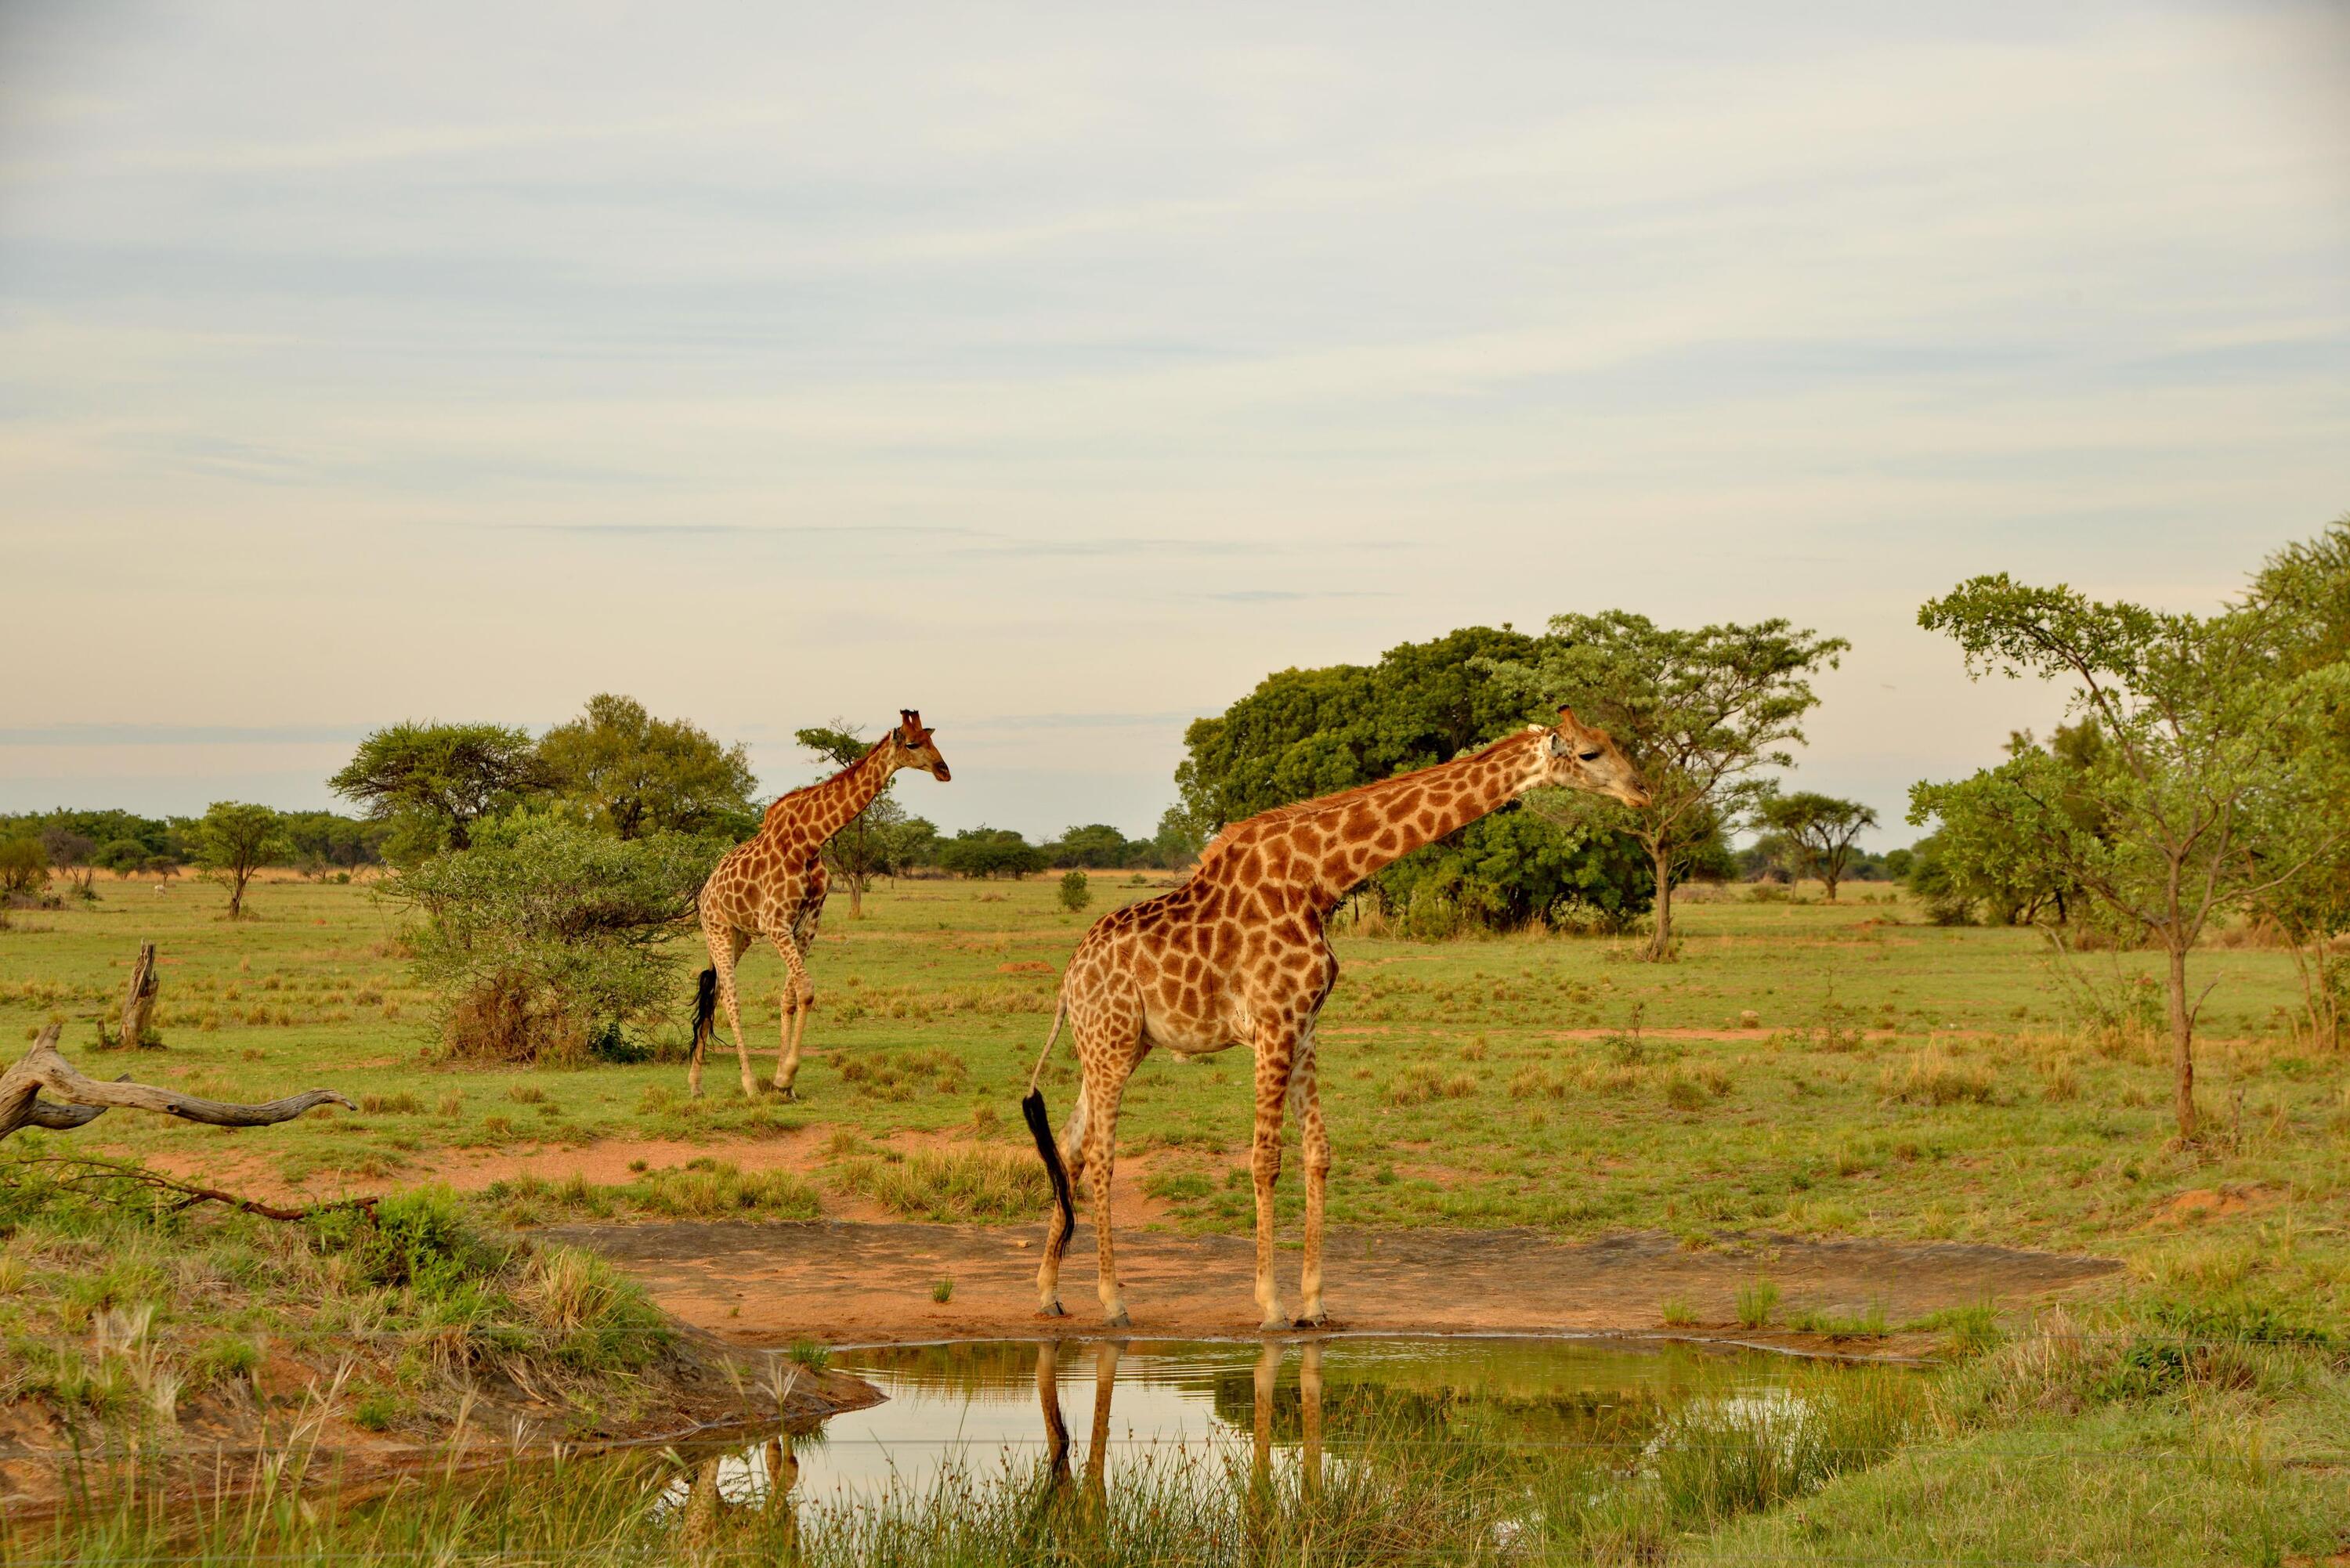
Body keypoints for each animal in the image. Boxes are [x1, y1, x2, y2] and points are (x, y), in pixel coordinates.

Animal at [689, 711, 950, 1100]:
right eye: (913, 743)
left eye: (933, 740)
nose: (944, 770)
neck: (811, 841)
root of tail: (705, 892)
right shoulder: (776, 923)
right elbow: (807, 990)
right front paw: (784, 1077)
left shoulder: (807, 924)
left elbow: (790, 997)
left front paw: (783, 1084)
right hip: (718, 928)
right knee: (731, 999)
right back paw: (748, 1085)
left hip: (739, 935)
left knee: (715, 992)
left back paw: (695, 1083)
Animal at [1021, 707, 1647, 1328]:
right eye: (1590, 753)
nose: (1642, 790)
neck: (1317, 880)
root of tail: (1068, 979)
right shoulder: (1274, 1022)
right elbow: (1265, 1160)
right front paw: (1271, 1304)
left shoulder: (1305, 1027)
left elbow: (1319, 1153)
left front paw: (1316, 1302)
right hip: (1111, 1041)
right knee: (1101, 1152)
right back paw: (1112, 1299)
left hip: (1118, 1045)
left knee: (1071, 1142)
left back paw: (1049, 1291)